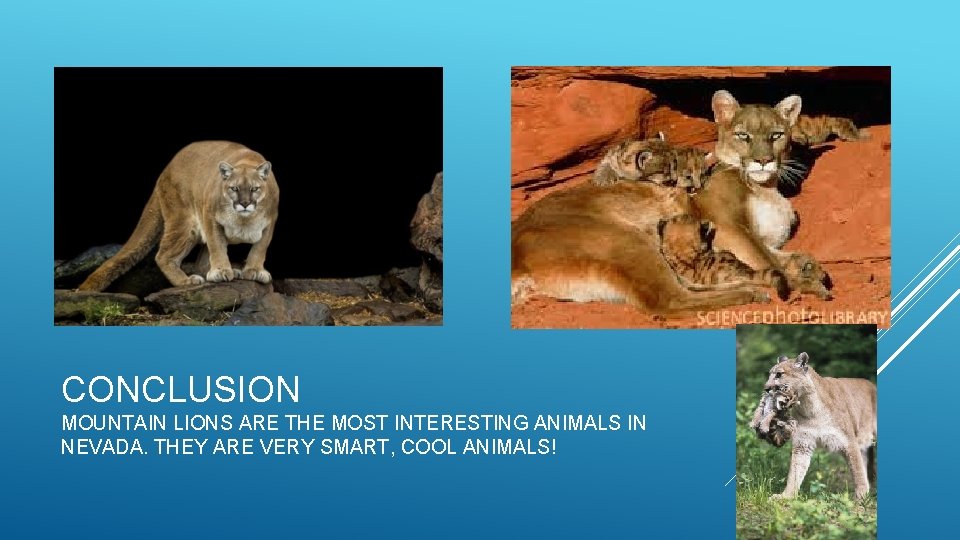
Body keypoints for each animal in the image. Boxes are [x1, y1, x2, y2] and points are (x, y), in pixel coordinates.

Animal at [78, 141, 279, 291]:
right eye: (234, 188)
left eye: (254, 188)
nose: (244, 204)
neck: (244, 220)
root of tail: (165, 171)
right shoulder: (209, 217)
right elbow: (217, 246)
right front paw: (221, 271)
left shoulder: (270, 223)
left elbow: (259, 248)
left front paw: (254, 270)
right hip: (184, 223)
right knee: (163, 256)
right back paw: (186, 281)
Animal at [763, 352, 877, 499]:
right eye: (770, 374)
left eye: (779, 374)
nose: (766, 388)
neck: (810, 408)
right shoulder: (803, 443)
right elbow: (795, 472)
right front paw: (786, 496)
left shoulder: (849, 442)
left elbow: (857, 471)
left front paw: (861, 498)